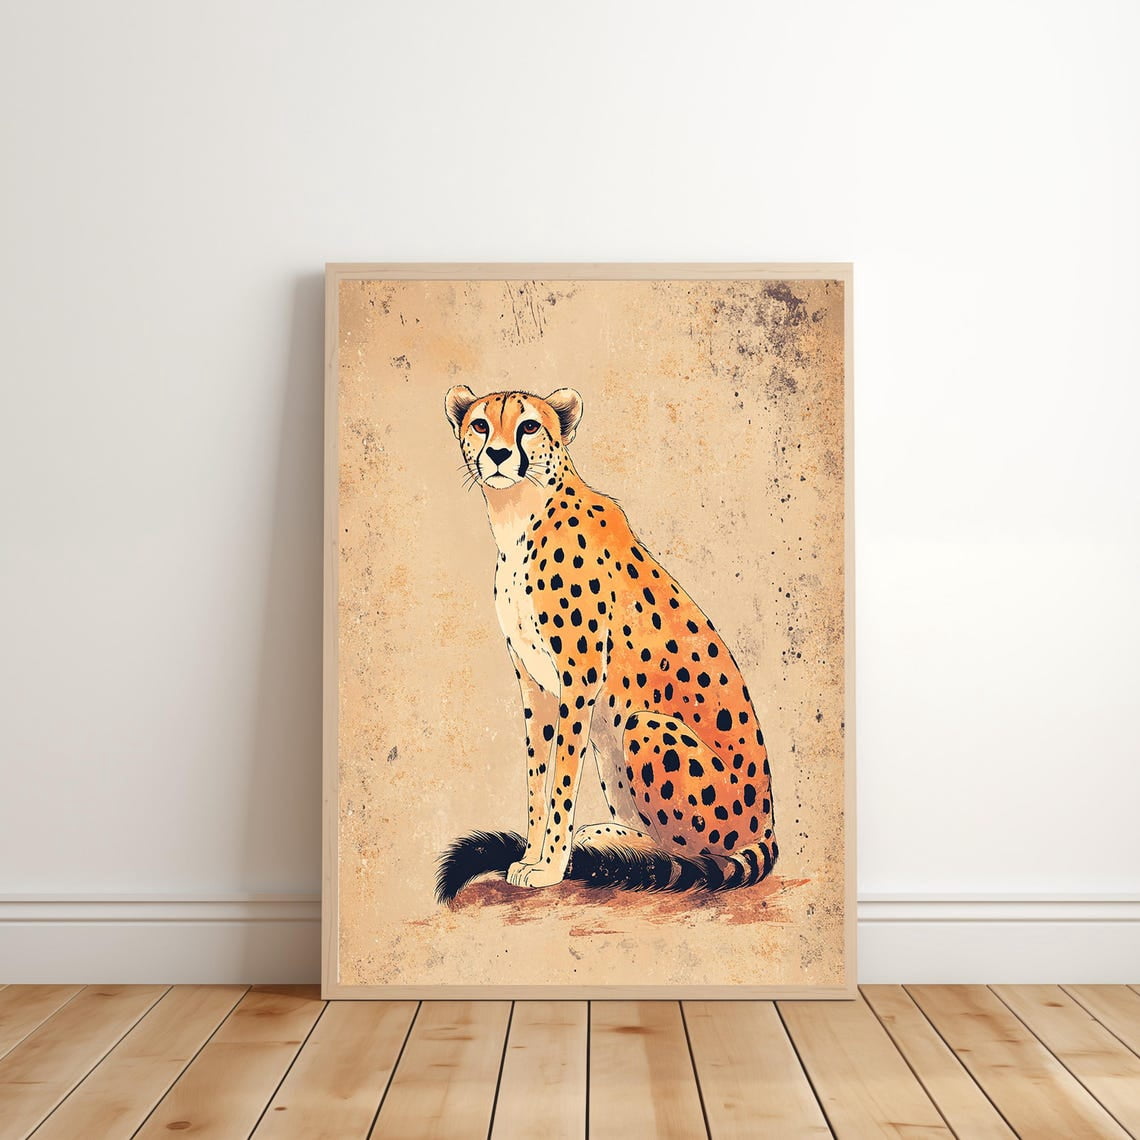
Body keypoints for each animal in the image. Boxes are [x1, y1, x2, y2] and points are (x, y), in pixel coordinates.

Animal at [436, 384, 777, 903]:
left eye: (529, 426)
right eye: (480, 424)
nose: (497, 454)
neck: (519, 514)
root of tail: (769, 823)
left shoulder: (579, 680)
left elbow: (561, 783)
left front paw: (550, 866)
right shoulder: (537, 685)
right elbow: (537, 778)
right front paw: (530, 855)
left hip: (644, 727)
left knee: (701, 855)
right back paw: (604, 838)